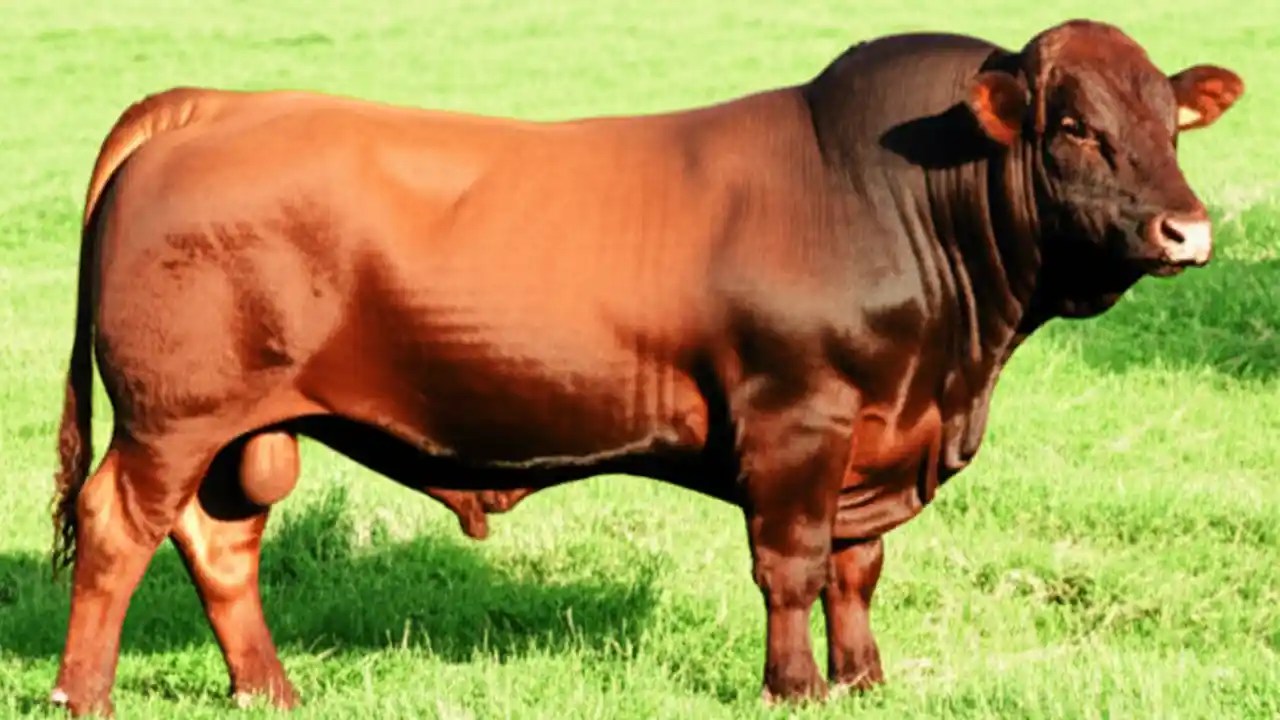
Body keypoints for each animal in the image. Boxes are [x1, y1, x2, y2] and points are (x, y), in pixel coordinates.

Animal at [45, 19, 1241, 716]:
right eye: (1074, 126)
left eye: (1169, 120)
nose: (1186, 229)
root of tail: (209, 106)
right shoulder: (797, 421)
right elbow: (791, 566)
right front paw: (796, 687)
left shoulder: (878, 432)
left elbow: (855, 567)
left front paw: (863, 678)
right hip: (170, 418)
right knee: (118, 528)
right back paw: (84, 695)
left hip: (240, 426)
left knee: (219, 543)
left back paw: (272, 692)